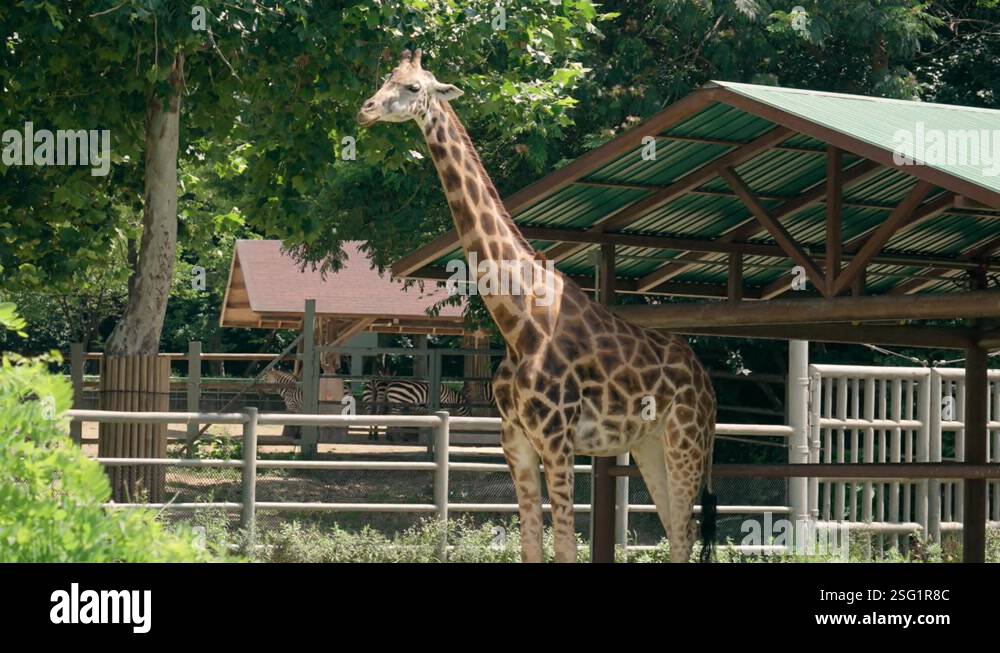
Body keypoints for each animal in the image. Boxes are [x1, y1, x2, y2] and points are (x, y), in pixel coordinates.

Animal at [357, 49, 717, 563]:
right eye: (386, 78)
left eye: (412, 87)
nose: (365, 110)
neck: (515, 321)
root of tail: (708, 384)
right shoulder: (516, 442)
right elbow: (529, 543)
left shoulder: (557, 442)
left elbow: (564, 545)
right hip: (650, 445)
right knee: (676, 529)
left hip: (686, 441)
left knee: (684, 531)